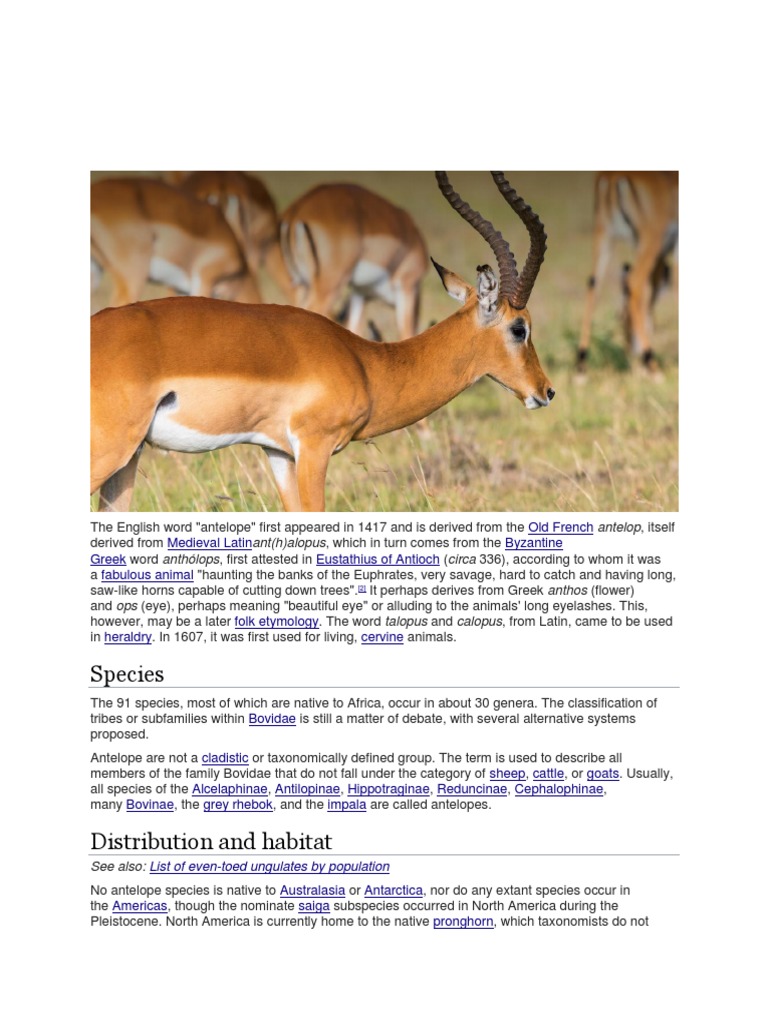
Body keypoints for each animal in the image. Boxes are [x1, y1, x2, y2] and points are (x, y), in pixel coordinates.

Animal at [277, 183, 429, 339]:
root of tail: (299, 207)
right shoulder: (407, 287)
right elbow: (407, 334)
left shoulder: (359, 292)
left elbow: (355, 328)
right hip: (329, 287)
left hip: (301, 285)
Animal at [576, 171, 678, 373]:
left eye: (620, 316)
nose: (629, 348)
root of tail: (613, 175)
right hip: (650, 239)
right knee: (635, 282)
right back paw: (651, 363)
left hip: (604, 235)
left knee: (594, 285)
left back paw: (582, 367)